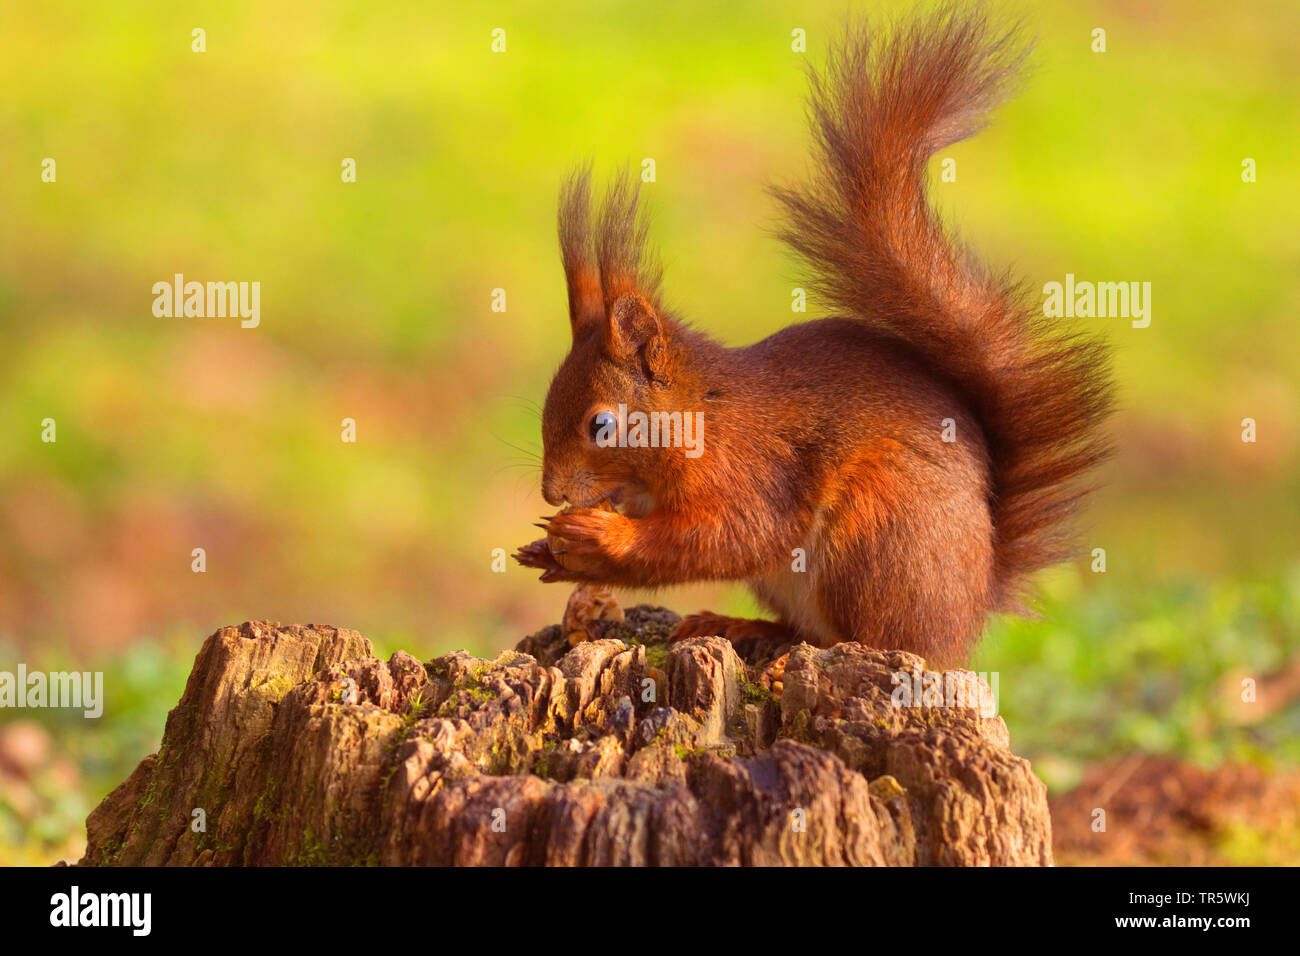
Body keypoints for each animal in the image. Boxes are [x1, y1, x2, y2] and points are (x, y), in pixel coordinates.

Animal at [514, 7, 1113, 668]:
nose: (551, 492)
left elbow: (728, 536)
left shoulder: (753, 470)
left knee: (862, 638)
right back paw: (743, 627)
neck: (700, 416)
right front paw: (545, 552)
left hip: (877, 534)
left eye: (602, 425)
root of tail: (968, 616)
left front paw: (595, 536)